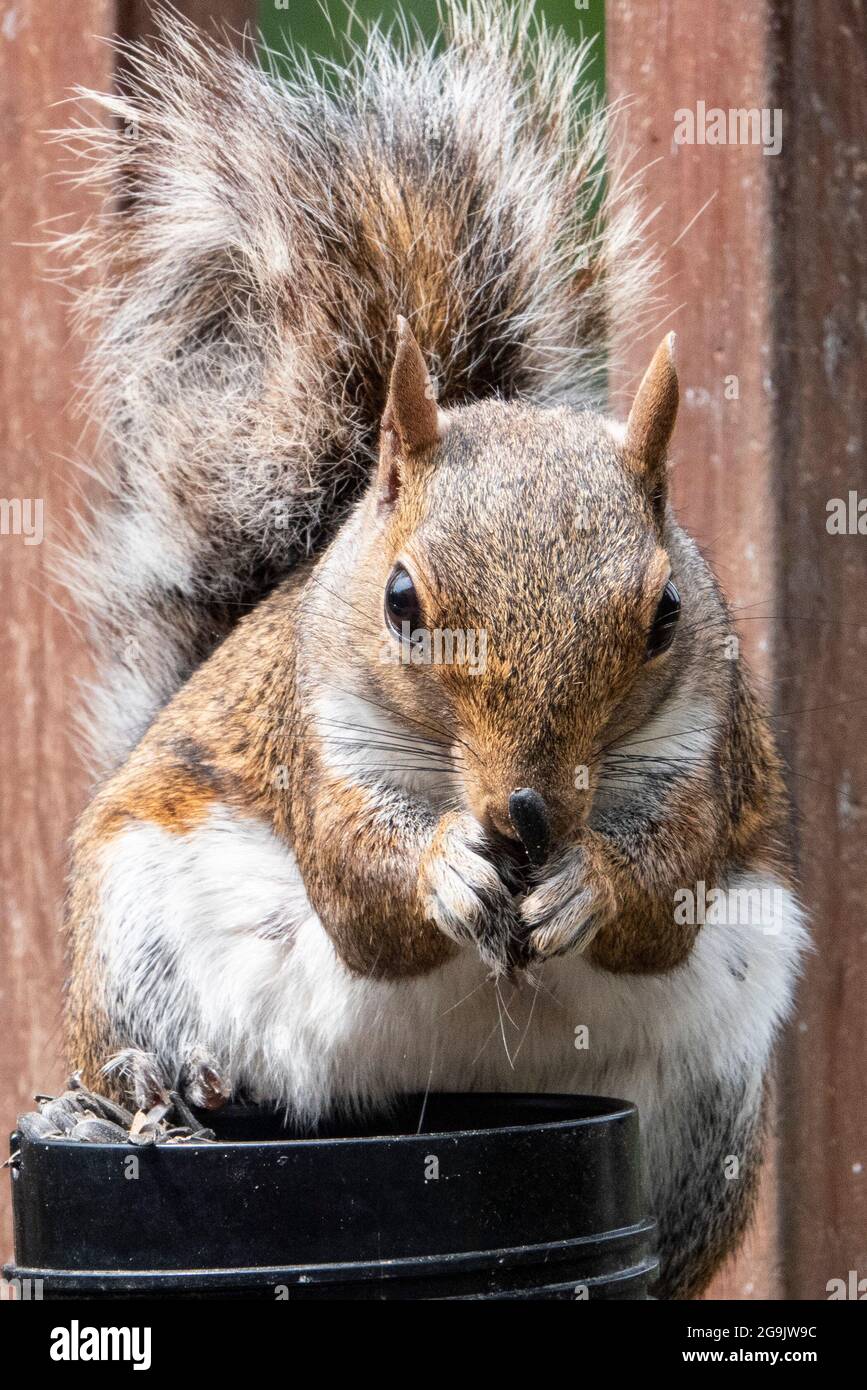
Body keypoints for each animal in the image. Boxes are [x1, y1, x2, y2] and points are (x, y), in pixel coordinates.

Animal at [59, 3, 806, 1299]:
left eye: (666, 613)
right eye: (402, 600)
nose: (527, 814)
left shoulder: (708, 759)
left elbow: (666, 900)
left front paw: (589, 881)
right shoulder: (313, 744)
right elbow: (360, 897)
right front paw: (441, 871)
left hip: (712, 1115)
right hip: (131, 929)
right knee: (128, 1049)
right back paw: (151, 1084)